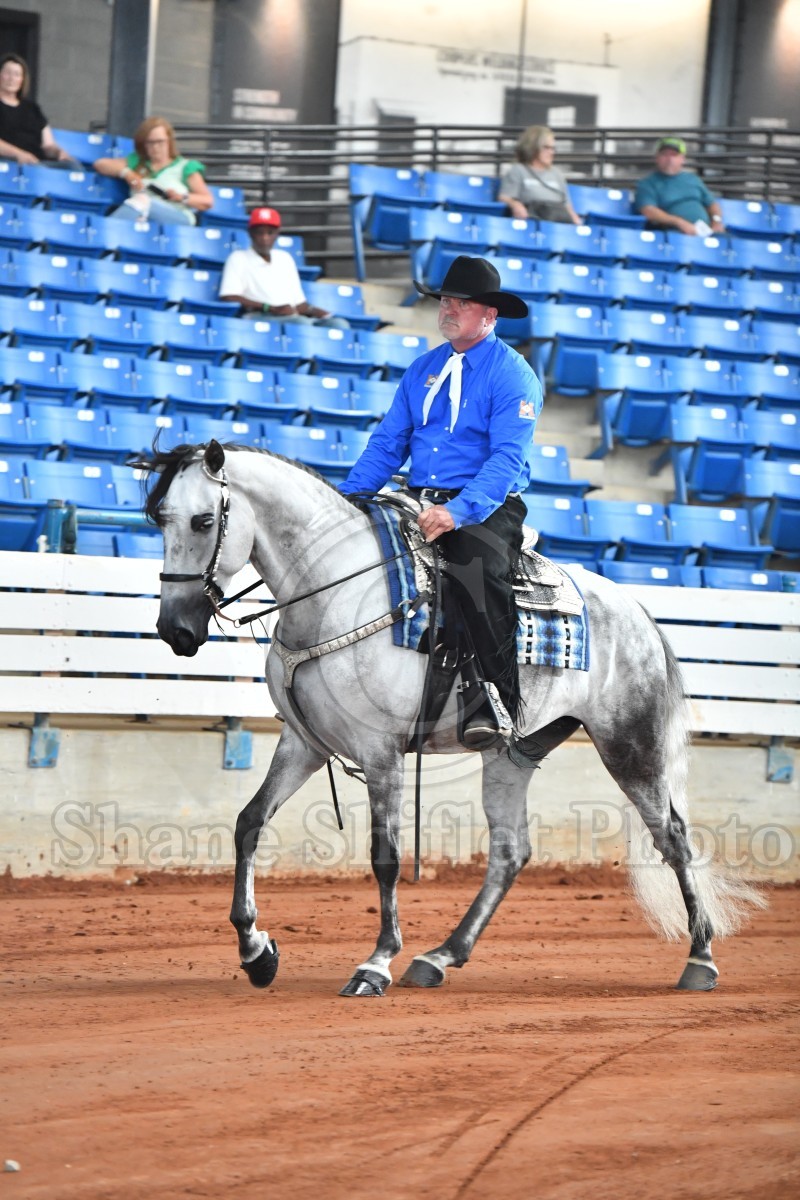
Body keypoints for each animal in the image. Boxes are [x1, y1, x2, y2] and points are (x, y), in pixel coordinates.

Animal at [141, 438, 763, 998]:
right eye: (159, 519)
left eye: (203, 520)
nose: (176, 631)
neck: (331, 596)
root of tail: (636, 609)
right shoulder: (304, 742)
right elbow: (249, 824)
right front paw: (256, 952)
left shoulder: (381, 752)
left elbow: (386, 856)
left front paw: (375, 963)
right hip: (513, 754)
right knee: (511, 852)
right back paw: (441, 955)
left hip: (630, 745)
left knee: (673, 838)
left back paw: (701, 959)